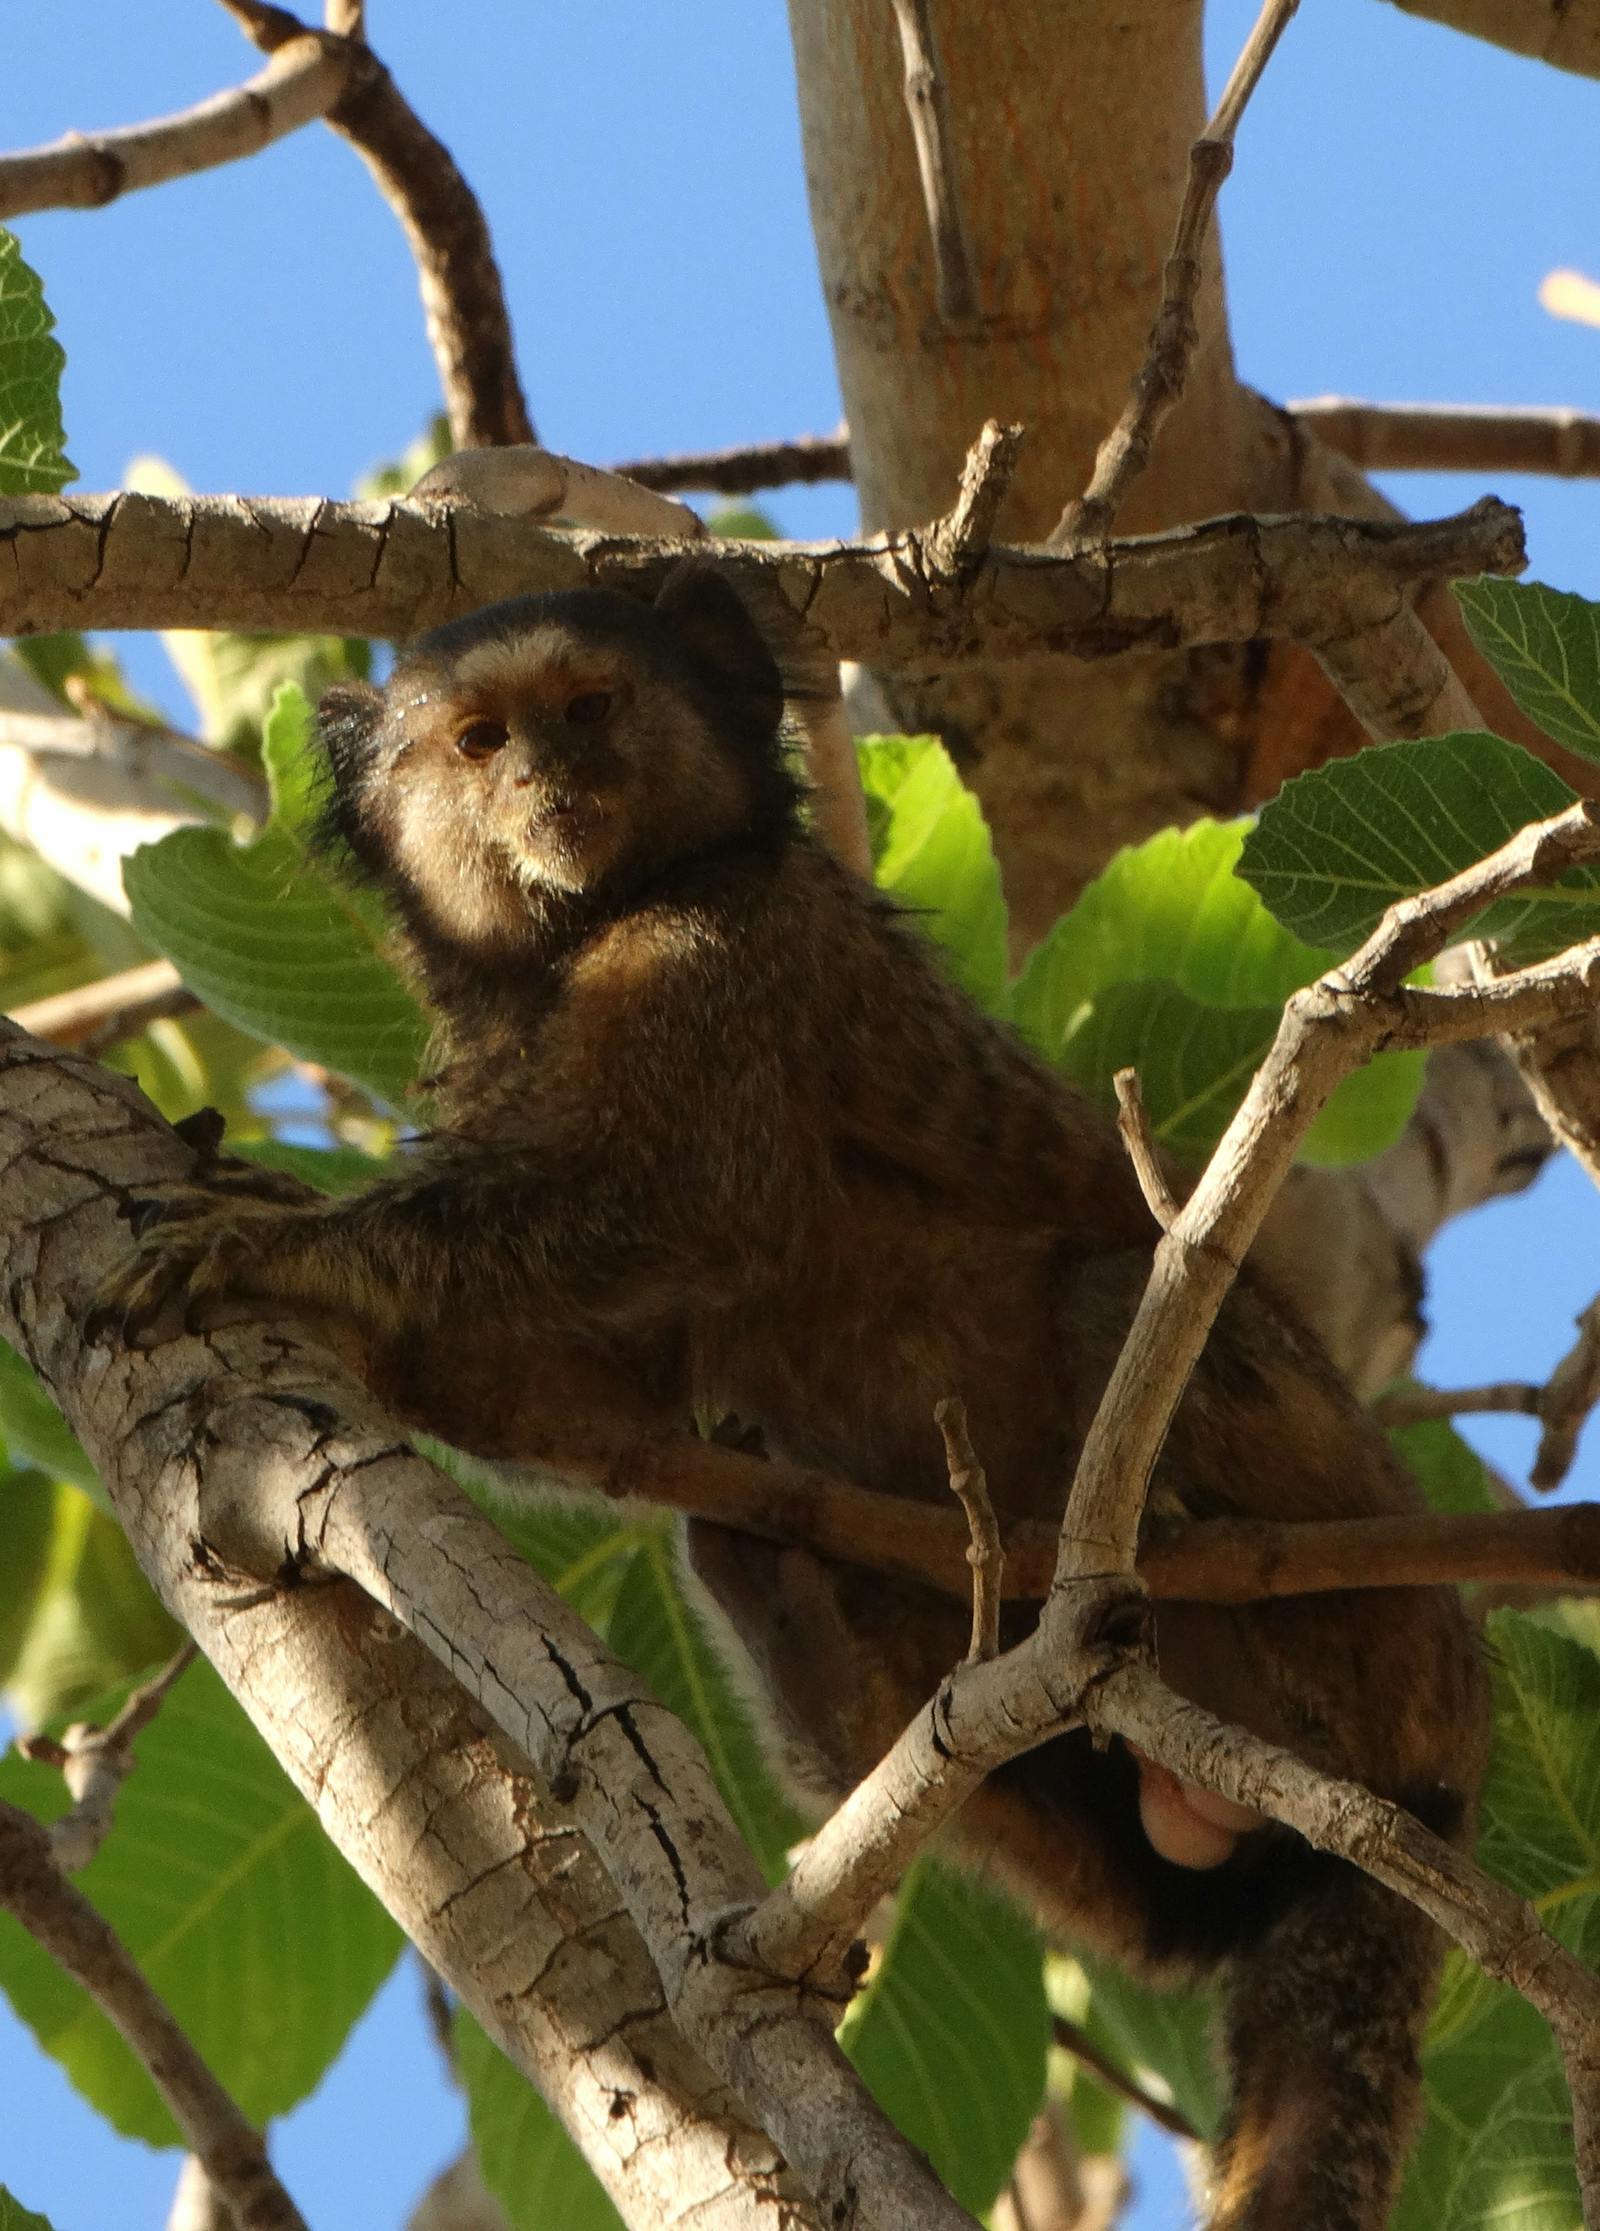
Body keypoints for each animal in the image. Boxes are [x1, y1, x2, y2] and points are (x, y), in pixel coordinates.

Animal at [99, 566, 1489, 2231]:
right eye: (481, 736)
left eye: (592, 706)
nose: (546, 777)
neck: (597, 923)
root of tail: (1437, 1781)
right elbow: (604, 1387)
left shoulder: (726, 954)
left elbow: (648, 1195)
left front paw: (300, 1251)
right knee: (752, 1554)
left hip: (1370, 1619)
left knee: (1118, 1293)